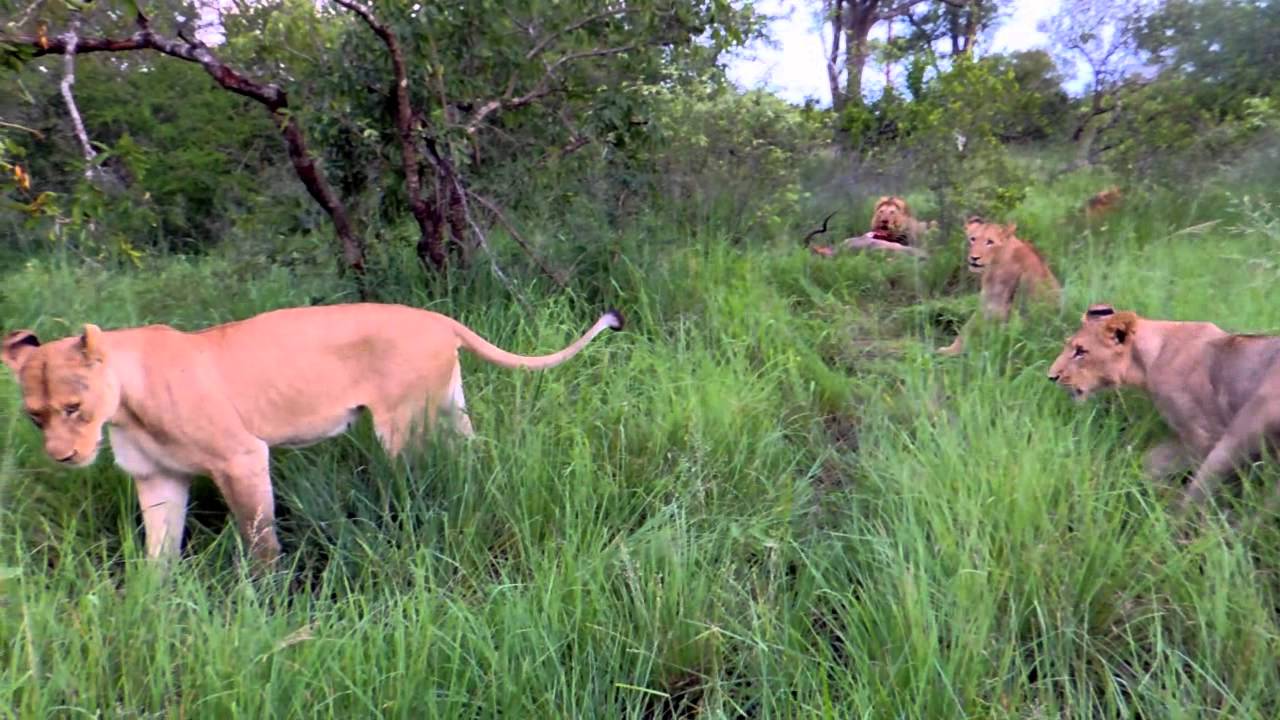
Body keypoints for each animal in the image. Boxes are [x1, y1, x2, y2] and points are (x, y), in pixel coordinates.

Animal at [2, 303, 623, 567]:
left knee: (425, 479)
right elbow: (157, 554)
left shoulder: (240, 457)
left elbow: (260, 541)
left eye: (74, 407)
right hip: (448, 409)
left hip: (404, 426)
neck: (125, 407)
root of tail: (438, 317)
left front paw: (267, 600)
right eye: (35, 416)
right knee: (471, 457)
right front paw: (153, 611)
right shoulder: (159, 478)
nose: (63, 457)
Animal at [937, 217, 1061, 356]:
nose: (974, 258)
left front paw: (951, 350)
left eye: (990, 242)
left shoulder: (995, 301)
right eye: (973, 239)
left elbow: (969, 326)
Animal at [1049, 304, 1280, 518]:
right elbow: (1153, 460)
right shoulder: (1186, 438)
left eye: (1081, 351)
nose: (1051, 376)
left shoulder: (1205, 434)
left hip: (1247, 423)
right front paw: (1138, 485)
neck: (1148, 360)